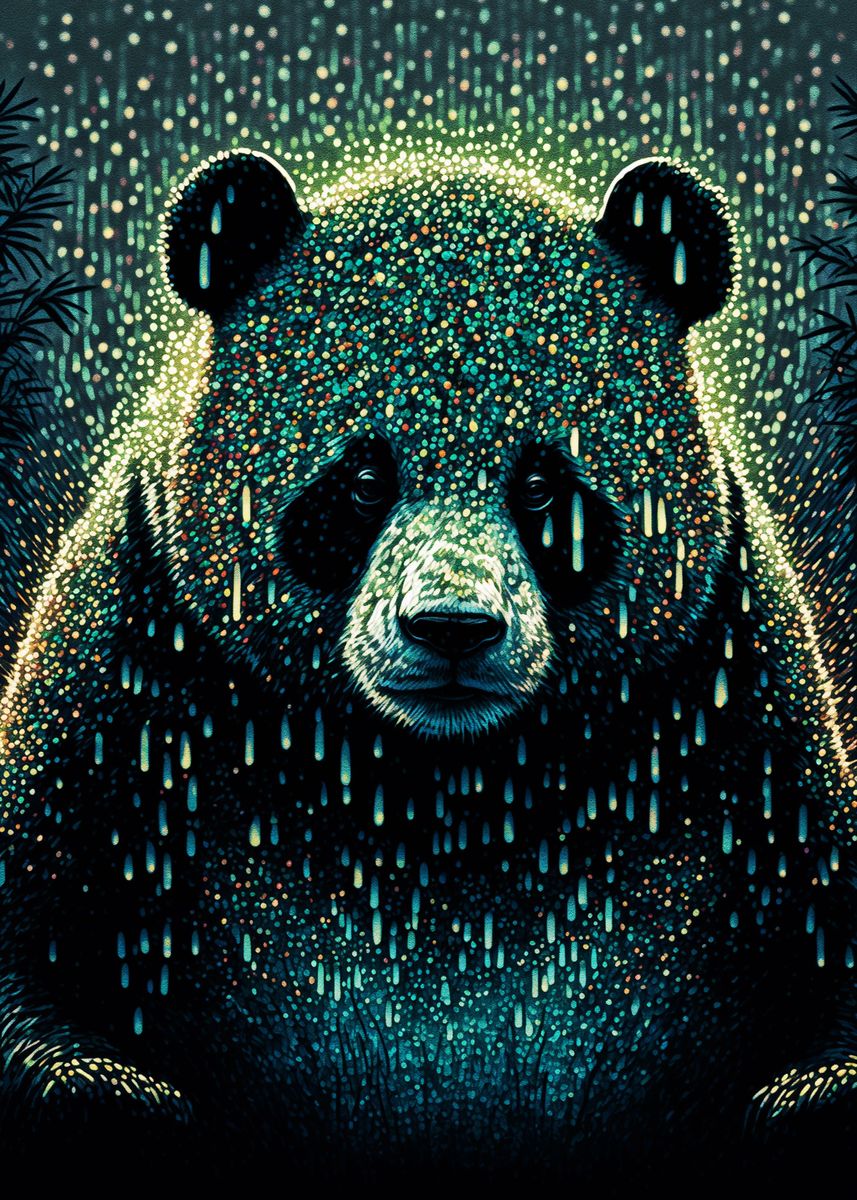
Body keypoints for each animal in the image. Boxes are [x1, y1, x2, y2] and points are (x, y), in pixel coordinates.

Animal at [0, 148, 855, 1183]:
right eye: (363, 479)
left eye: (543, 485)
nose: (452, 627)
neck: (440, 788)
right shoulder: (135, 673)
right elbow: (37, 939)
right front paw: (123, 1102)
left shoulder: (733, 705)